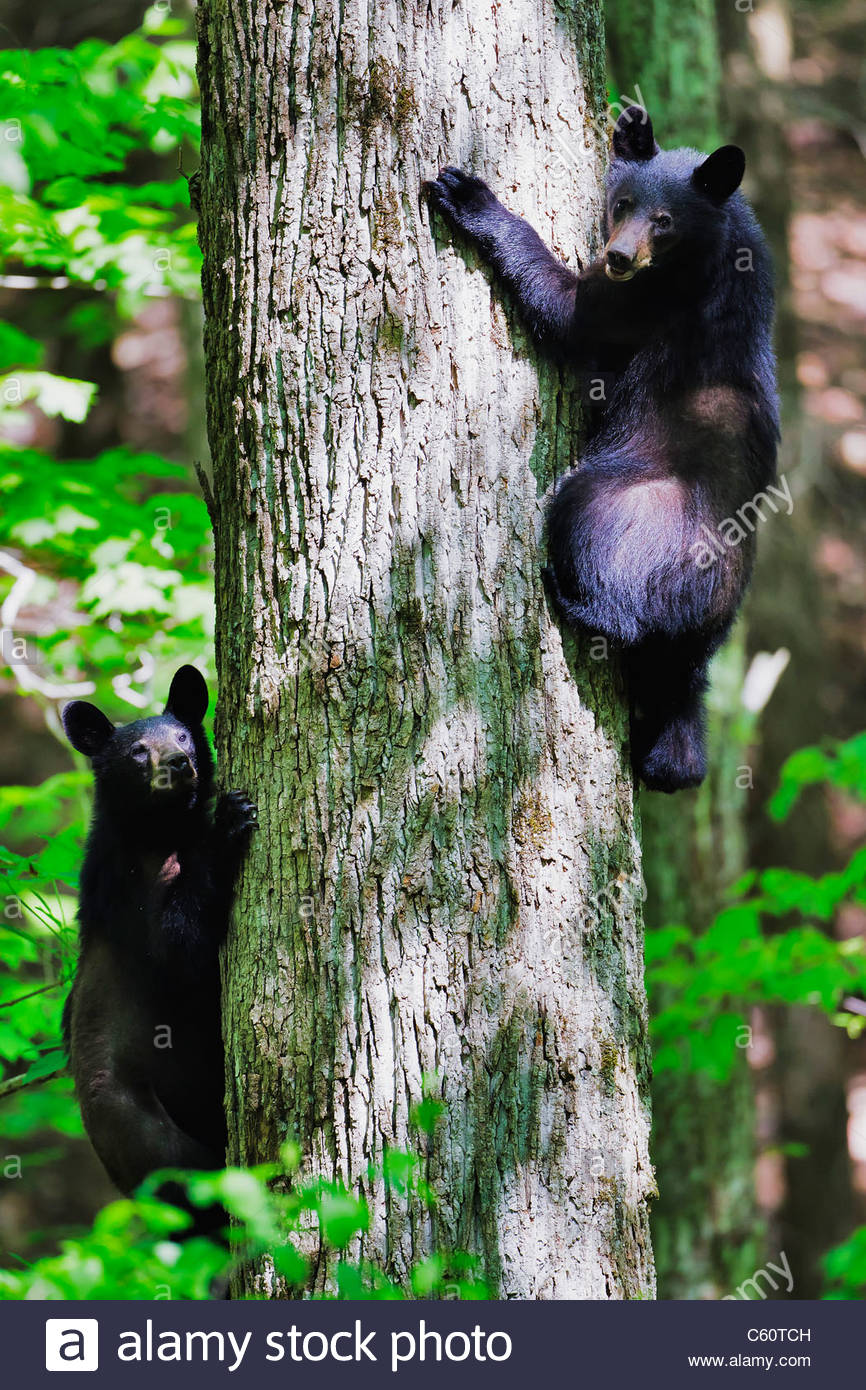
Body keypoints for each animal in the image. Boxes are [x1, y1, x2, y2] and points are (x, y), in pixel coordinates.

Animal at [61, 665, 256, 1228]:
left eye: (184, 735)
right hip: (146, 1131)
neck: (161, 831)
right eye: (136, 751)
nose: (177, 763)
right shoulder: (130, 890)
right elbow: (177, 952)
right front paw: (229, 821)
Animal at [424, 106, 780, 792]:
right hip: (690, 652)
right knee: (676, 711)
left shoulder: (647, 300)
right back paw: (668, 757)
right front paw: (631, 132)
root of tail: (707, 615)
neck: (717, 252)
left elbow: (570, 309)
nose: (618, 254)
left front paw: (469, 196)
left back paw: (572, 599)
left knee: (597, 554)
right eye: (622, 204)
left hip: (626, 510)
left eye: (664, 220)